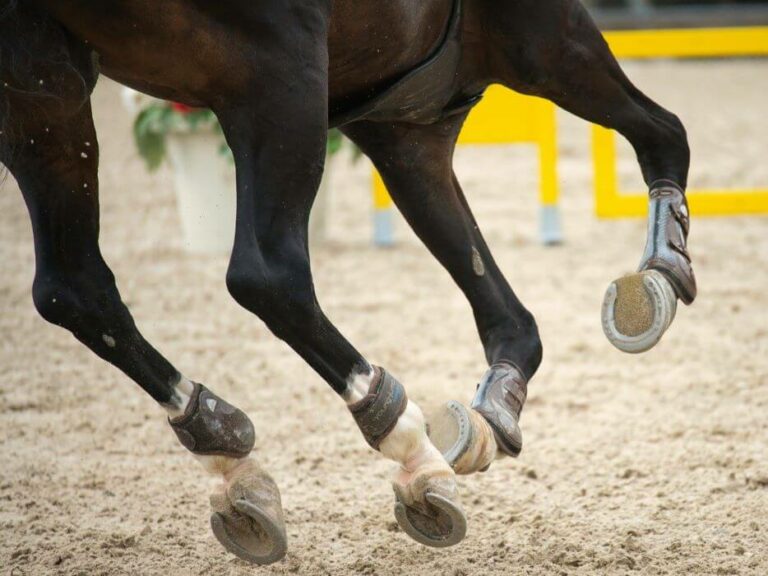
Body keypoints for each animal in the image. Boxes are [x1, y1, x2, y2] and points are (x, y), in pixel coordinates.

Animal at [0, 0, 696, 564]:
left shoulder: (406, 129)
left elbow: (503, 309)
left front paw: (494, 410)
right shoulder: (531, 39)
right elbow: (662, 133)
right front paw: (661, 273)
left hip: (47, 89)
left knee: (74, 290)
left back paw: (222, 444)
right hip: (280, 72)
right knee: (266, 276)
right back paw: (402, 442)